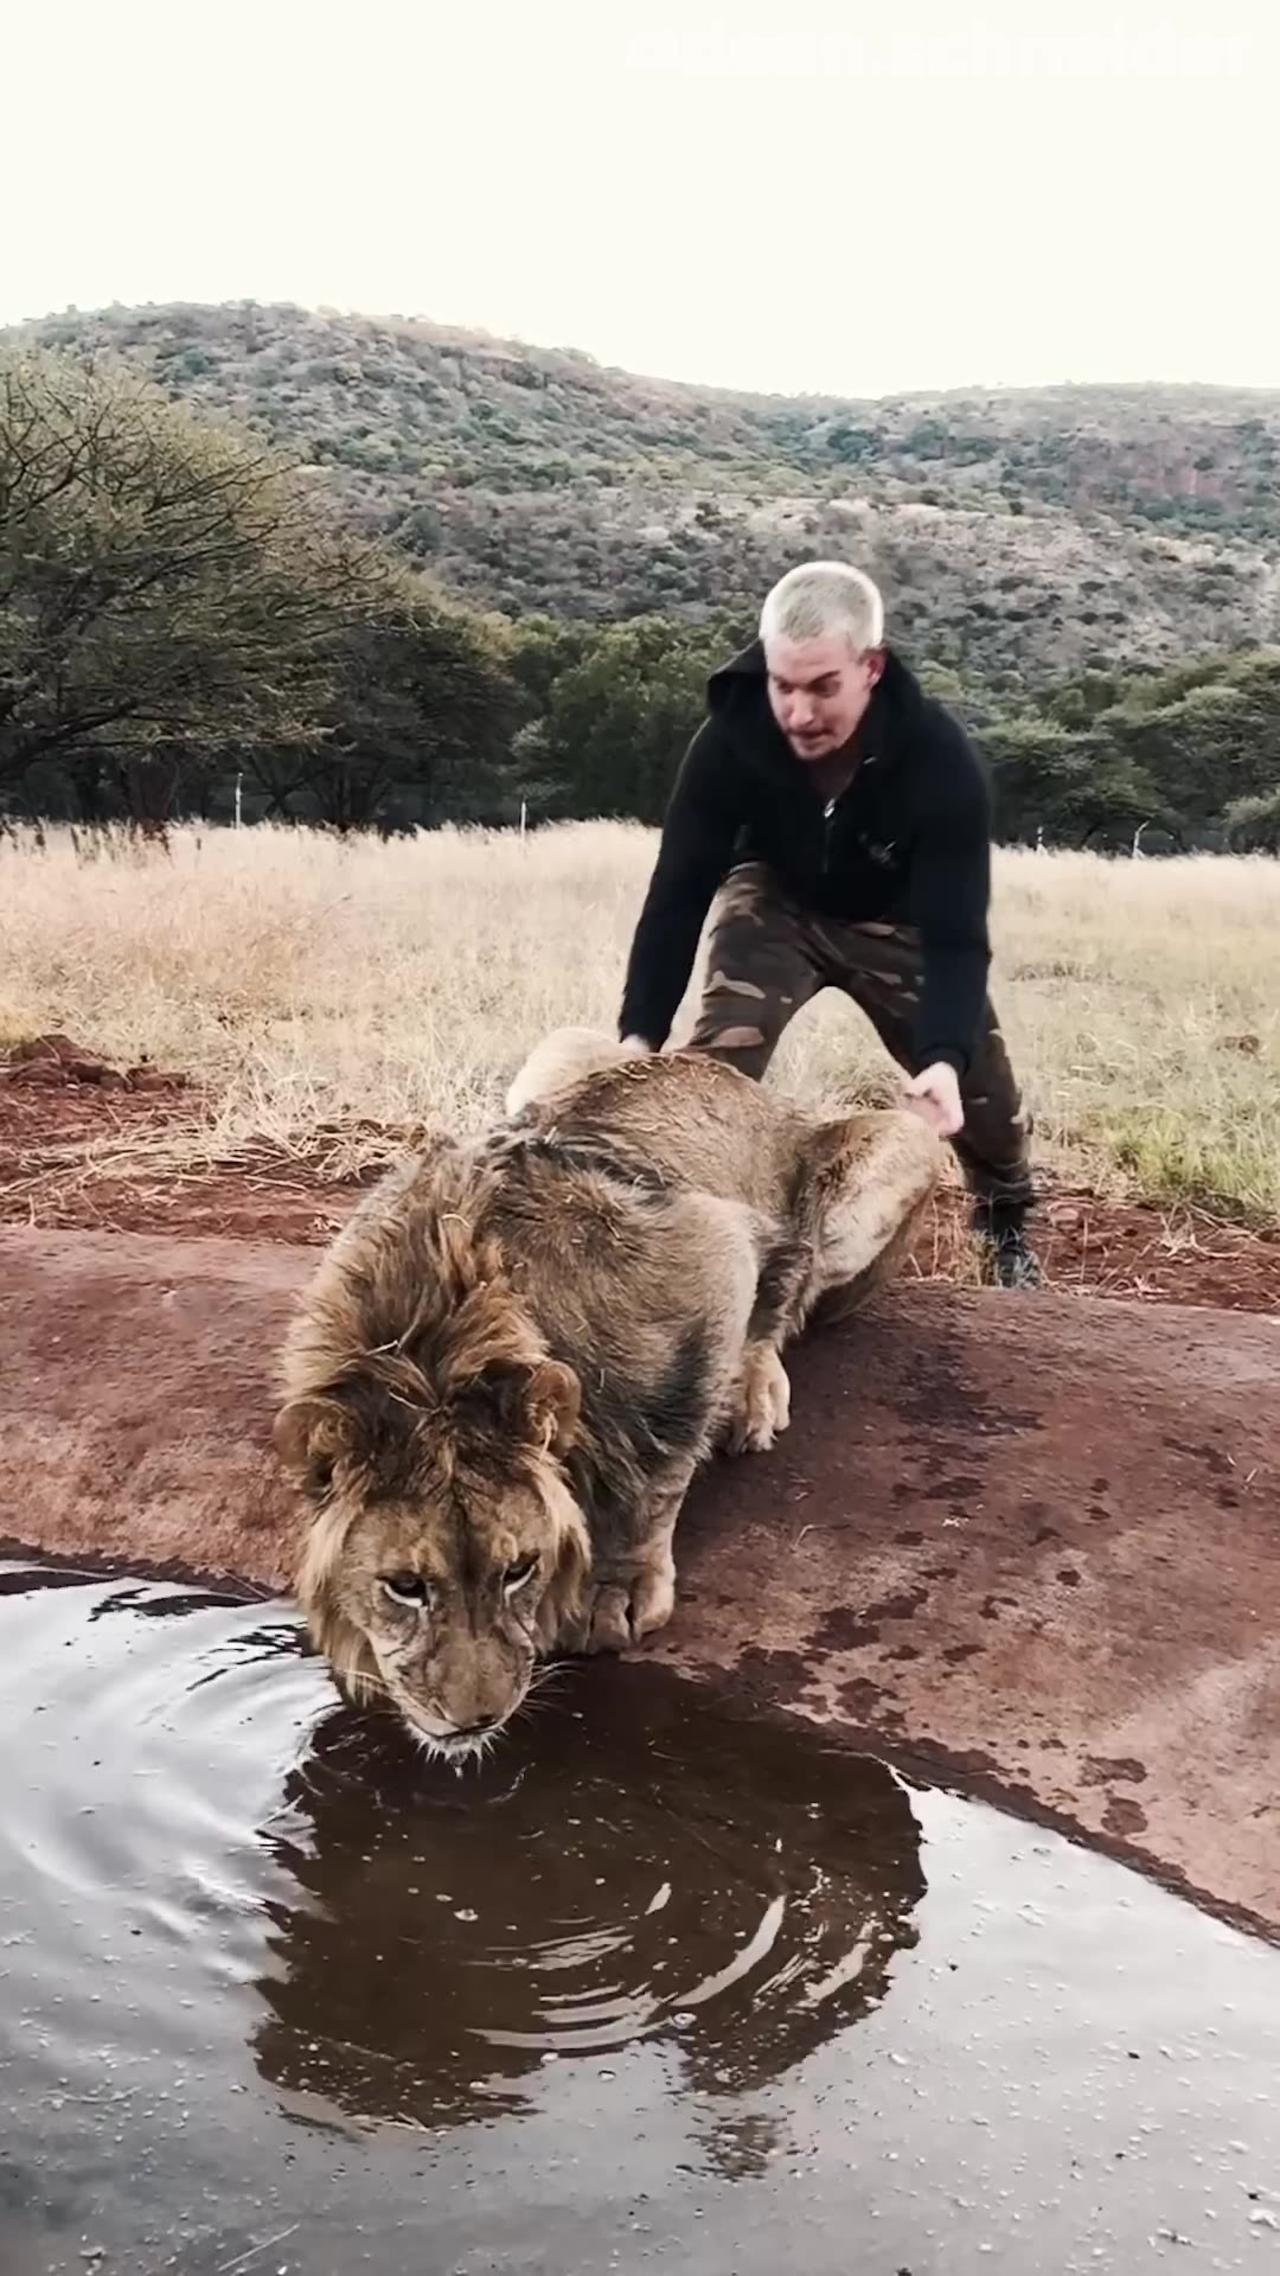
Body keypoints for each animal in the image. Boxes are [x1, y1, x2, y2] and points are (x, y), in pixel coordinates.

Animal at [272, 1030, 940, 1763]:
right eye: (406, 1588)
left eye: (520, 1570)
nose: (475, 1719)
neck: (433, 1348)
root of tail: (728, 1073)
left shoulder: (712, 1253)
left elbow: (658, 1462)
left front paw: (616, 1590)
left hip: (907, 1141)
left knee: (793, 1294)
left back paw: (755, 1395)